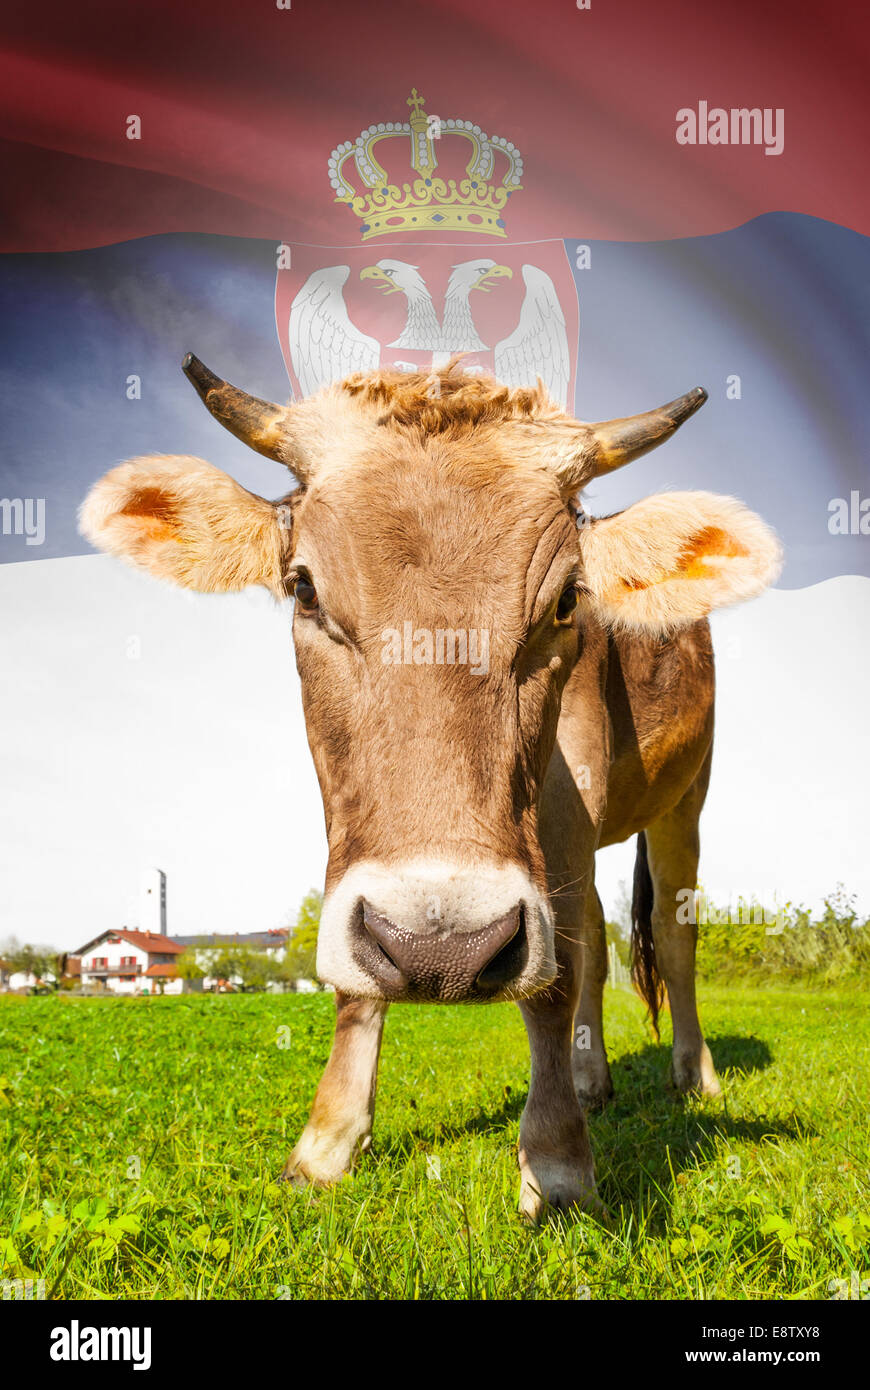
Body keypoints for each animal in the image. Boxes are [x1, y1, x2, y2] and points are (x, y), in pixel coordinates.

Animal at [80, 354, 781, 1221]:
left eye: (566, 600)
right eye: (304, 588)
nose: (440, 949)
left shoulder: (571, 797)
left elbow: (553, 978)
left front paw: (556, 1162)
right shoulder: (357, 826)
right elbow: (363, 974)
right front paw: (327, 1142)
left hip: (686, 798)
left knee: (671, 939)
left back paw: (694, 1075)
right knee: (592, 936)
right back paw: (592, 1081)